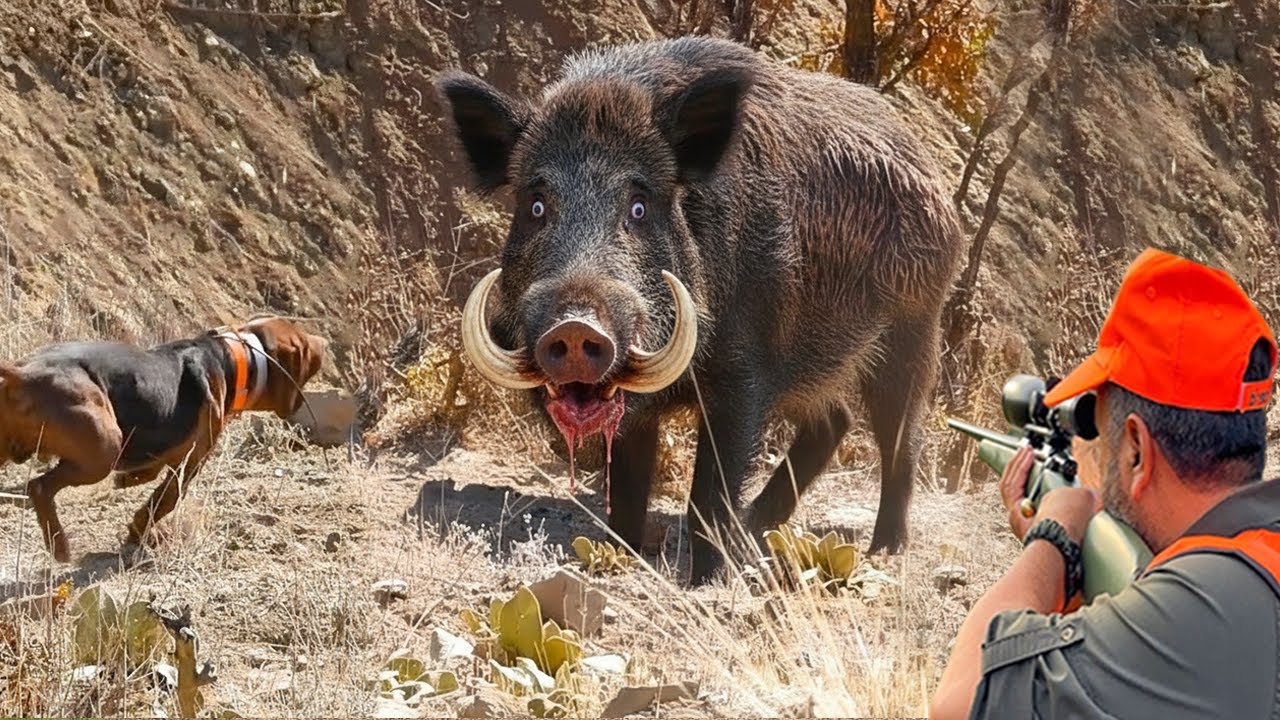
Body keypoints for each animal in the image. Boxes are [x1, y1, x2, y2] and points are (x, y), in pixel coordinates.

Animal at [438, 36, 962, 584]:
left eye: (640, 206)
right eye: (536, 205)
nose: (576, 326)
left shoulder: (743, 376)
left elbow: (708, 499)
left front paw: (706, 582)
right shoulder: (638, 409)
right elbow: (627, 493)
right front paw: (622, 558)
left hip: (913, 330)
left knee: (901, 438)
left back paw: (885, 550)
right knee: (833, 421)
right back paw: (758, 529)